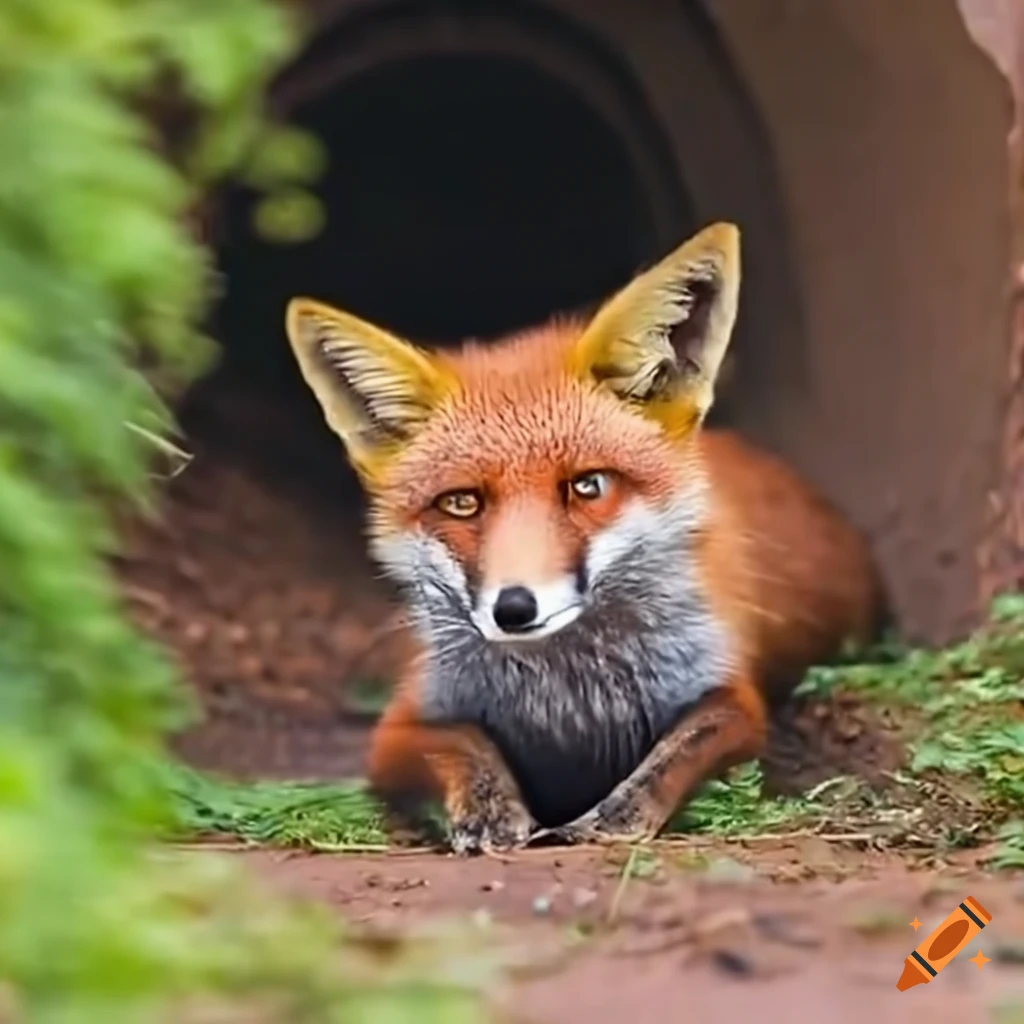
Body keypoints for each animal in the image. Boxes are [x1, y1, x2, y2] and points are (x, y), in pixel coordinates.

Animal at [283, 222, 887, 854]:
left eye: (587, 485)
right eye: (461, 502)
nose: (515, 608)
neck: (571, 701)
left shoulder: (729, 693)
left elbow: (678, 750)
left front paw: (612, 817)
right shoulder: (404, 722)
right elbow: (463, 746)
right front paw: (489, 812)